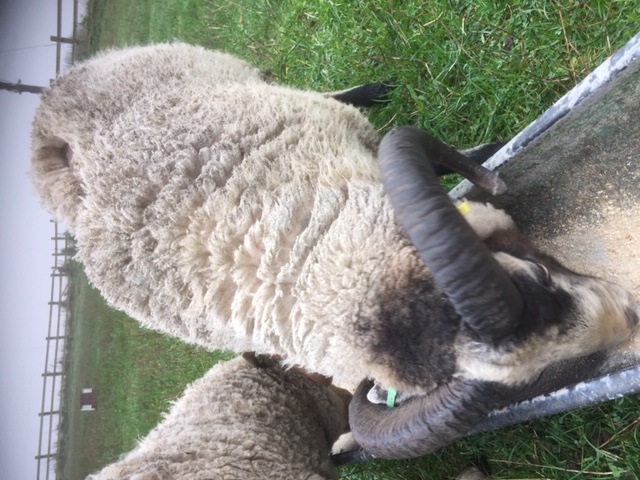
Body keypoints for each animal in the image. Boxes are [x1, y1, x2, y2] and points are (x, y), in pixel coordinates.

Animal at [30, 42, 640, 459]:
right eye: (537, 272)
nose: (629, 316)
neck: (304, 260)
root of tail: (47, 126)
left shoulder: (361, 142)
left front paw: (484, 154)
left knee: (297, 87)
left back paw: (370, 90)